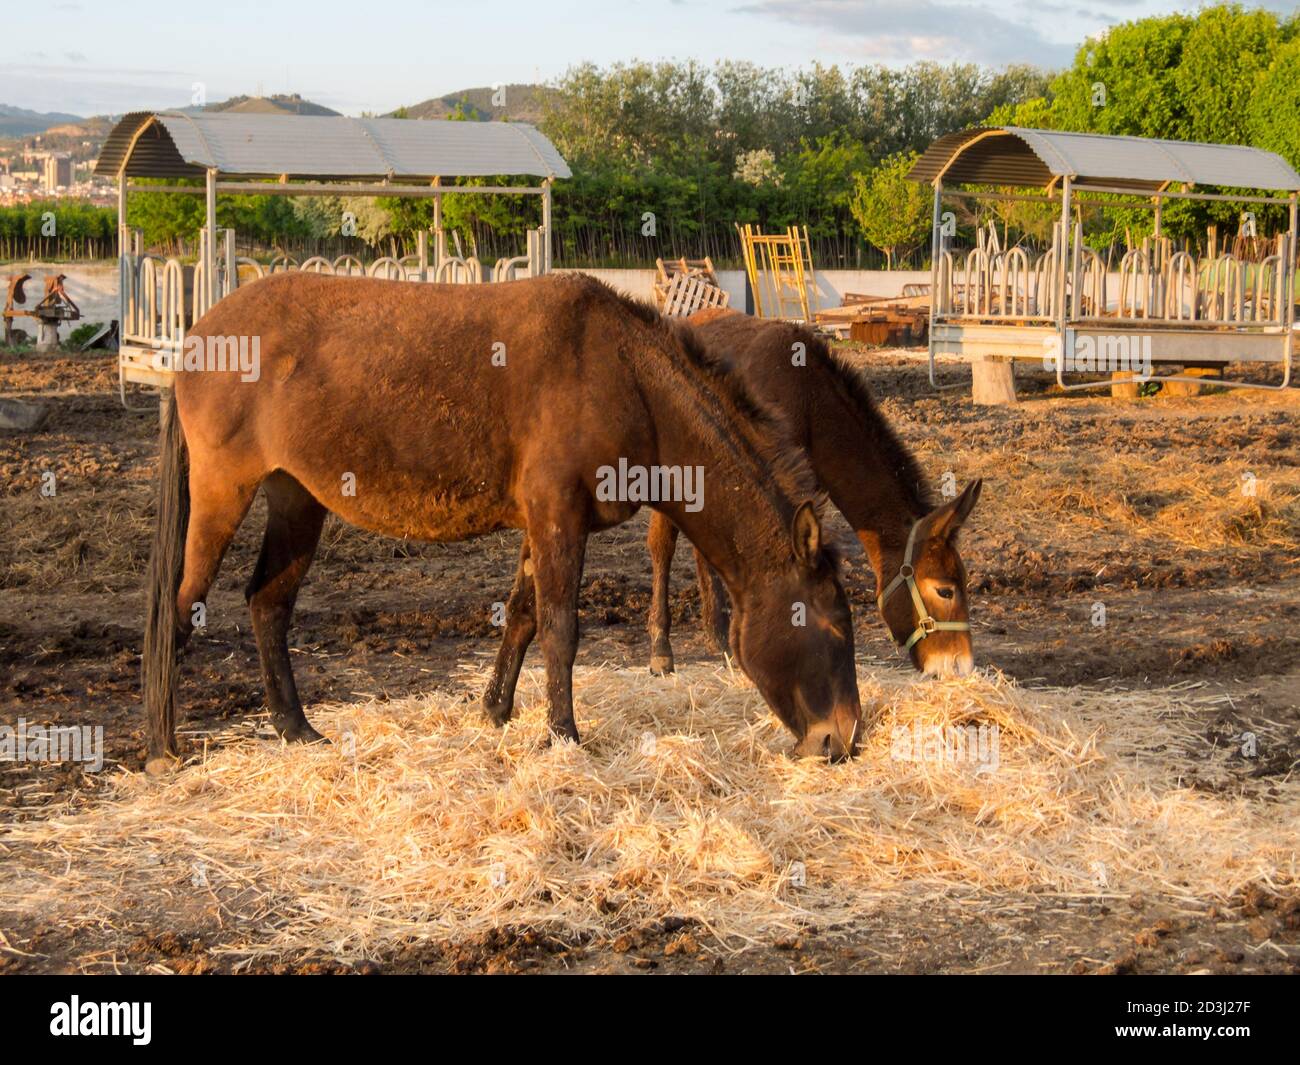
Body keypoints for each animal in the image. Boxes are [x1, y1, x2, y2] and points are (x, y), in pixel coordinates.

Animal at [142, 272, 864, 774]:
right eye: (830, 627)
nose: (843, 739)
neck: (626, 377)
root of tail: (198, 337)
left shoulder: (543, 521)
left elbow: (521, 615)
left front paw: (496, 710)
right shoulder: (558, 517)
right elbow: (561, 630)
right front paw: (563, 735)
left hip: (297, 498)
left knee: (268, 602)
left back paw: (296, 729)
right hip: (223, 492)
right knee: (179, 611)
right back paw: (162, 748)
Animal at [485, 308, 980, 715]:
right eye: (945, 589)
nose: (958, 667)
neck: (807, 396)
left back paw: (717, 632)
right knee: (663, 548)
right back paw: (664, 647)